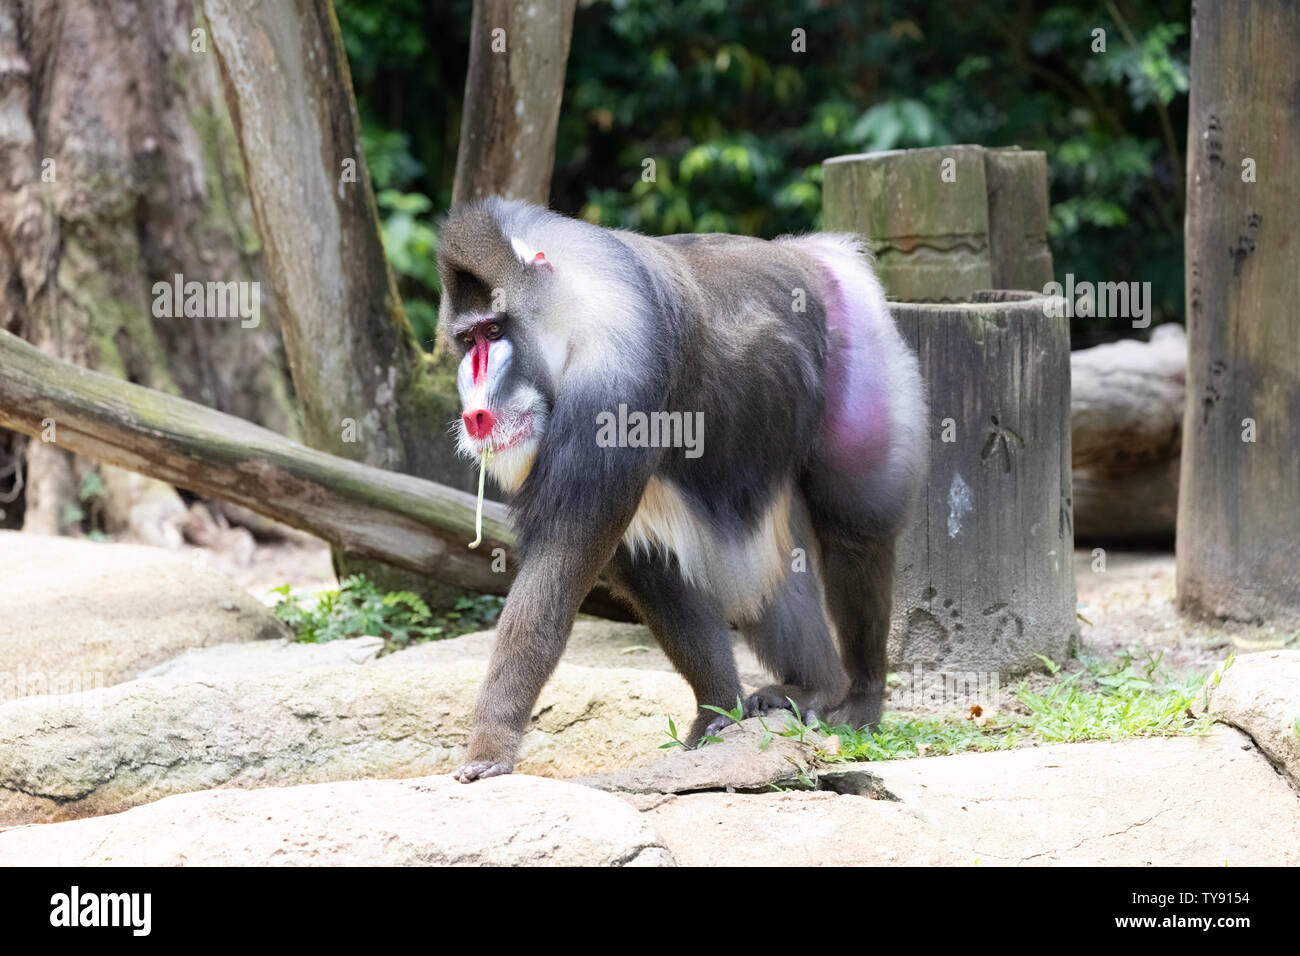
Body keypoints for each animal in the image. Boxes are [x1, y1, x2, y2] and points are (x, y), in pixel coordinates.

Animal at [436, 198, 927, 783]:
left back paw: (861, 702)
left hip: (861, 369)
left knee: (857, 536)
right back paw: (812, 688)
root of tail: (812, 253)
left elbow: (562, 558)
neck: (571, 310)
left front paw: (490, 748)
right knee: (772, 571)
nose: (476, 413)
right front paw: (719, 714)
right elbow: (649, 566)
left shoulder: (616, 380)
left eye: (494, 331)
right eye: (467, 341)